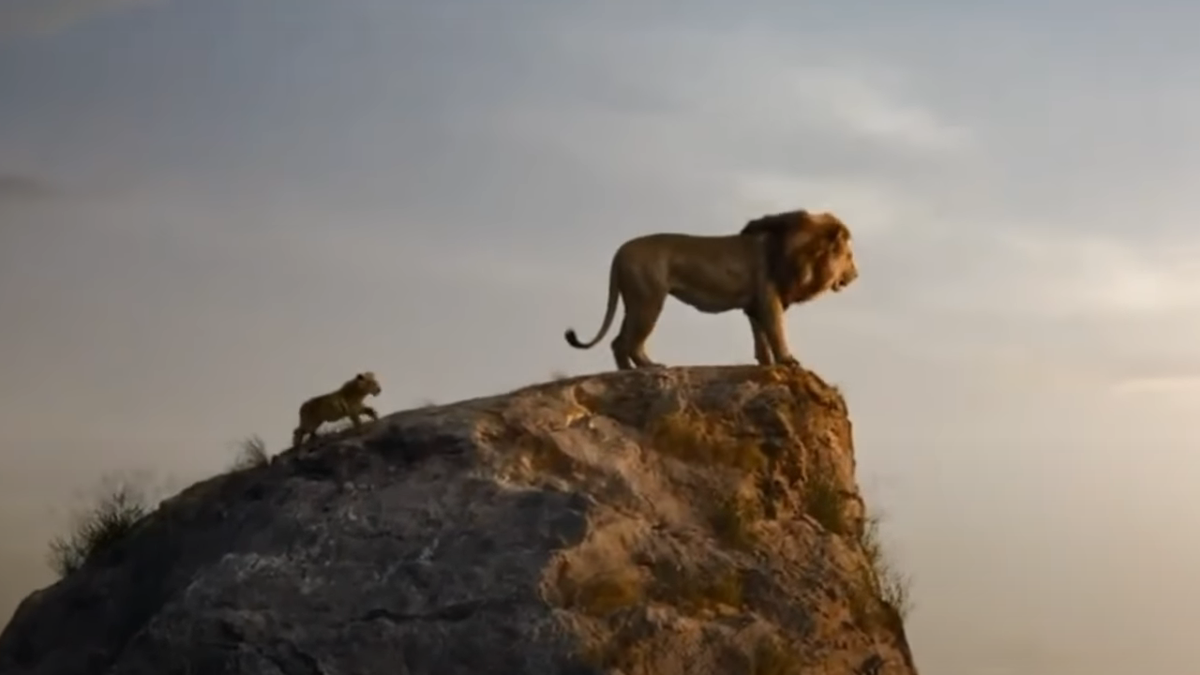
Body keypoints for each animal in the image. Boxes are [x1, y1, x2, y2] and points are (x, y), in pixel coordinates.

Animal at [563, 209, 858, 370]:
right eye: (850, 256)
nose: (856, 275)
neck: (805, 256)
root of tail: (619, 253)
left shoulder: (756, 304)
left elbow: (761, 338)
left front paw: (767, 364)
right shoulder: (769, 299)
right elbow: (776, 332)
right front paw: (788, 361)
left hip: (635, 300)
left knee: (619, 342)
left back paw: (632, 371)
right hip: (649, 299)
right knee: (628, 342)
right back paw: (646, 369)